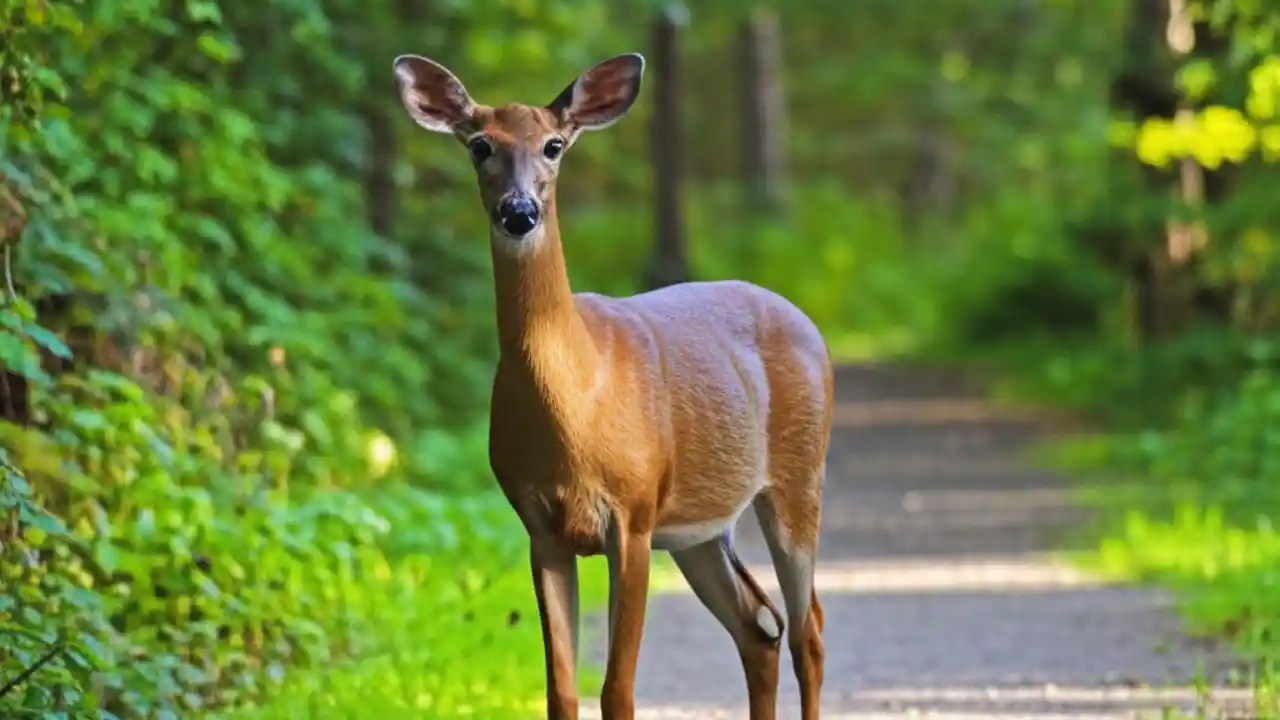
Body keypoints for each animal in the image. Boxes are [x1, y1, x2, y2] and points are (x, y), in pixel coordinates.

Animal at [392, 51, 833, 720]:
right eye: (479, 146)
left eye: (553, 145)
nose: (519, 211)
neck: (576, 400)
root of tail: (808, 323)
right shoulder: (540, 527)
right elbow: (562, 689)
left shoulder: (634, 514)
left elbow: (617, 689)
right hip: (699, 529)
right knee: (760, 624)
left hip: (798, 474)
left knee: (808, 630)